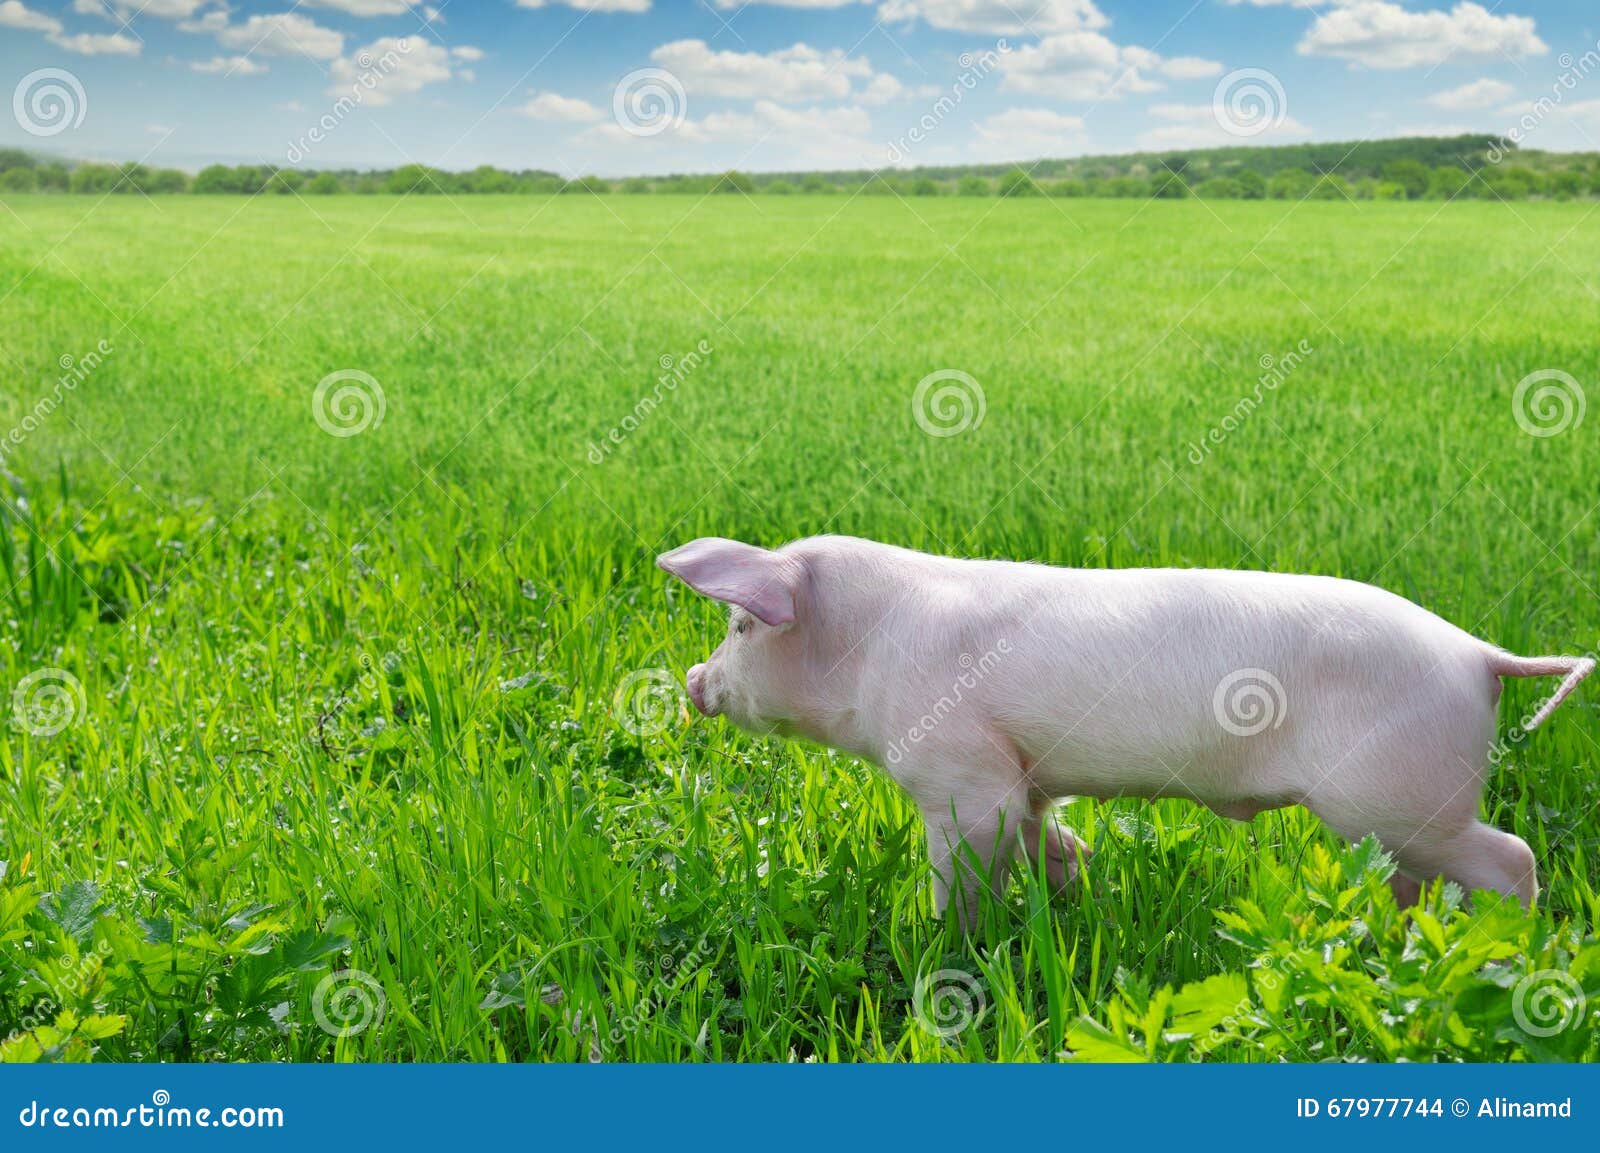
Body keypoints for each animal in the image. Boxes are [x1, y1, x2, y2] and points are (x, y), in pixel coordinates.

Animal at [657, 534, 1593, 927]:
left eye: (739, 626)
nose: (694, 682)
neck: (874, 642)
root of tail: (1479, 654)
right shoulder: (1025, 773)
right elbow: (1045, 834)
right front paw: (1073, 883)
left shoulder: (959, 771)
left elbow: (969, 863)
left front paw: (942, 939)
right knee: (1417, 878)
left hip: (1400, 794)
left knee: (1509, 856)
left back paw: (1509, 947)